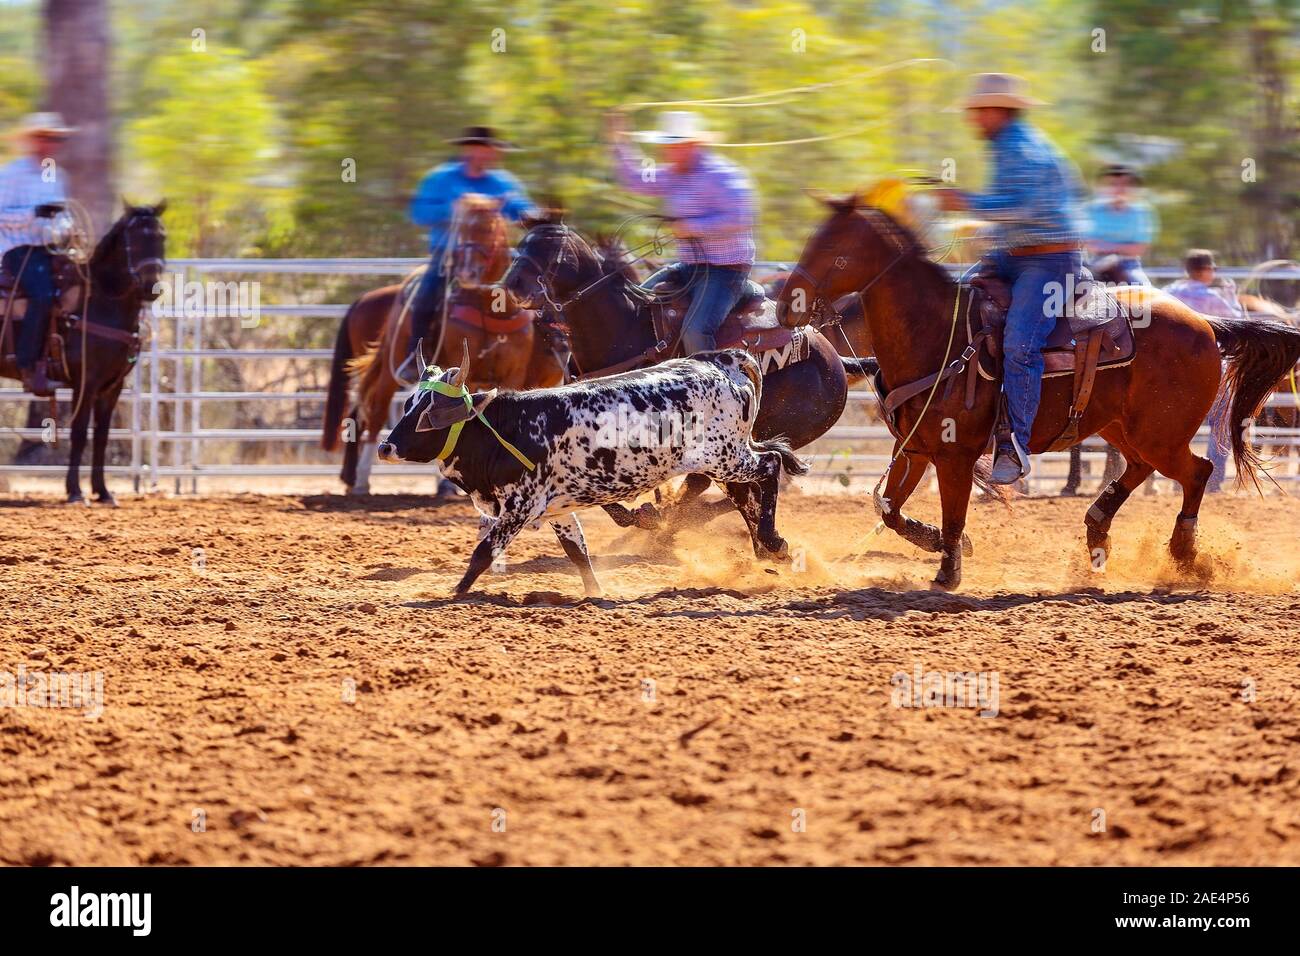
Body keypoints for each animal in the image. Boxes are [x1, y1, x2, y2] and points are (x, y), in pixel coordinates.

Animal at [377, 342, 807, 598]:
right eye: (408, 404)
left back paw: (772, 542)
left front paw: (455, 593)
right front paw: (595, 593)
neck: (508, 428)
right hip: (724, 460)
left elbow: (484, 552)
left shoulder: (519, 507)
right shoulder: (557, 510)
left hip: (726, 457)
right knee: (751, 488)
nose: (385, 447)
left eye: (426, 413)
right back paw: (768, 552)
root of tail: (720, 361)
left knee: (770, 467)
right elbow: (577, 552)